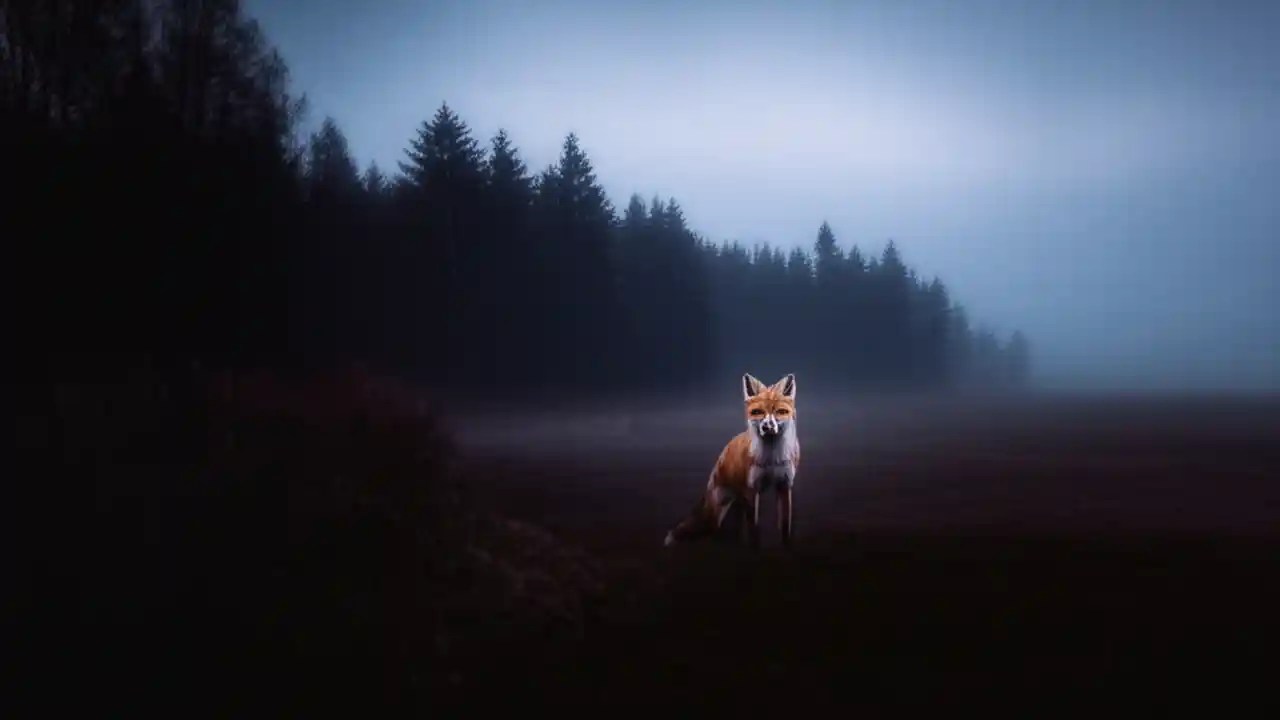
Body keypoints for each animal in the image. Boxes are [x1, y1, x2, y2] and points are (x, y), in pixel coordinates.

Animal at [664, 373, 799, 550]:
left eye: (781, 412)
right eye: (757, 412)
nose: (767, 426)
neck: (771, 459)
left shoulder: (784, 485)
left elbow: (785, 526)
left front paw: (787, 548)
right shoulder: (752, 490)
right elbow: (754, 529)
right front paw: (755, 550)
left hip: (738, 504)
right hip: (718, 514)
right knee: (711, 532)